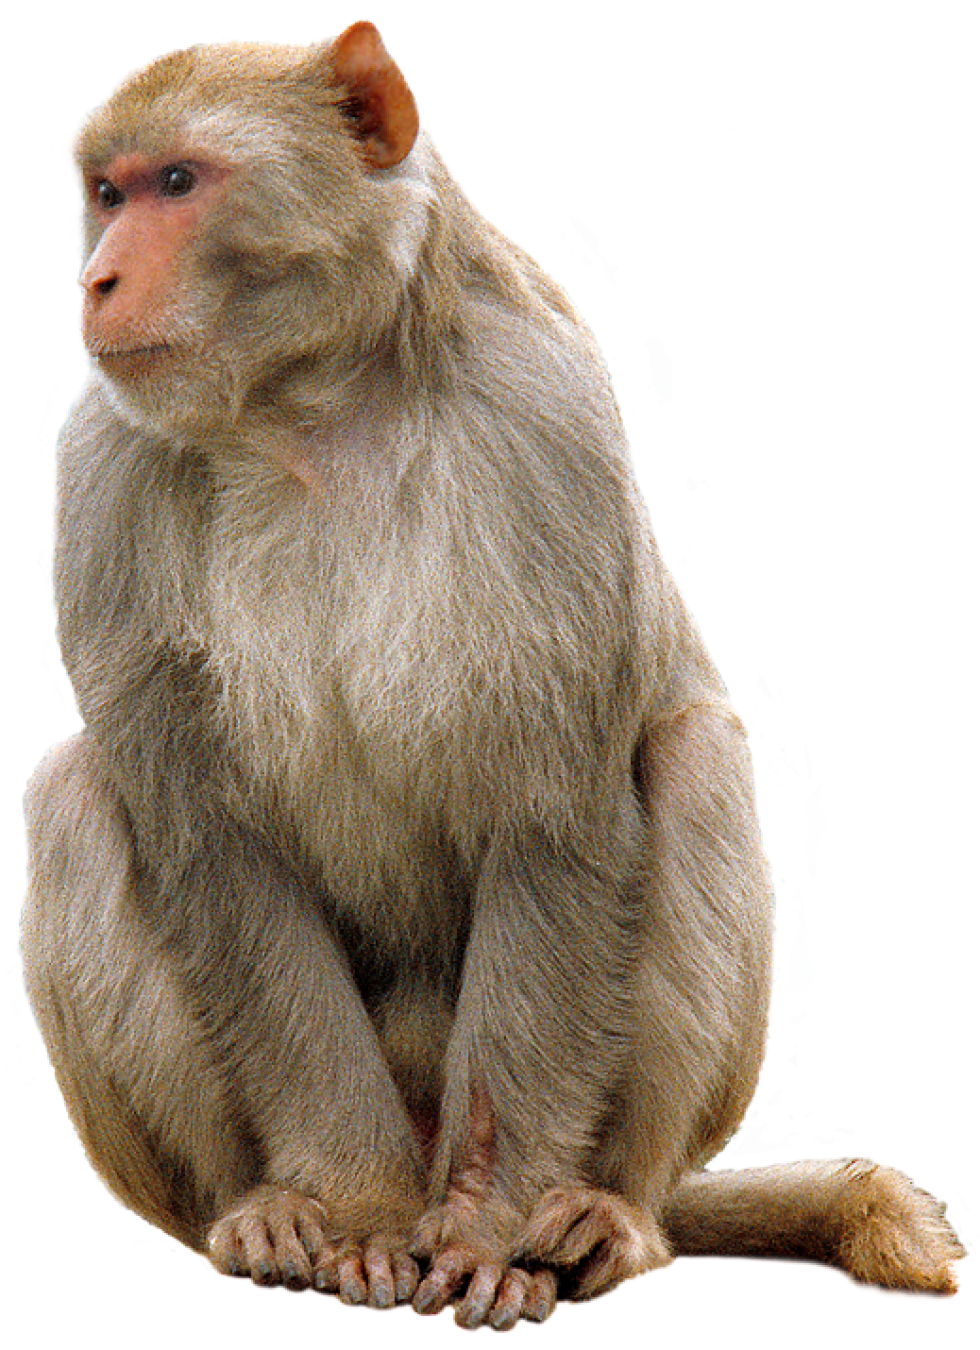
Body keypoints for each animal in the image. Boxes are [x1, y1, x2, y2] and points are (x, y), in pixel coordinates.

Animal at [19, 19, 965, 1332]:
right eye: (106, 195)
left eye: (176, 182)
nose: (98, 281)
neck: (311, 404)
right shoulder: (101, 468)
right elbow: (213, 848)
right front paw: (355, 1214)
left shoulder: (541, 421)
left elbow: (553, 819)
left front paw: (482, 1230)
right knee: (71, 793)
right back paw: (257, 1220)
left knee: (689, 759)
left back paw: (602, 1222)